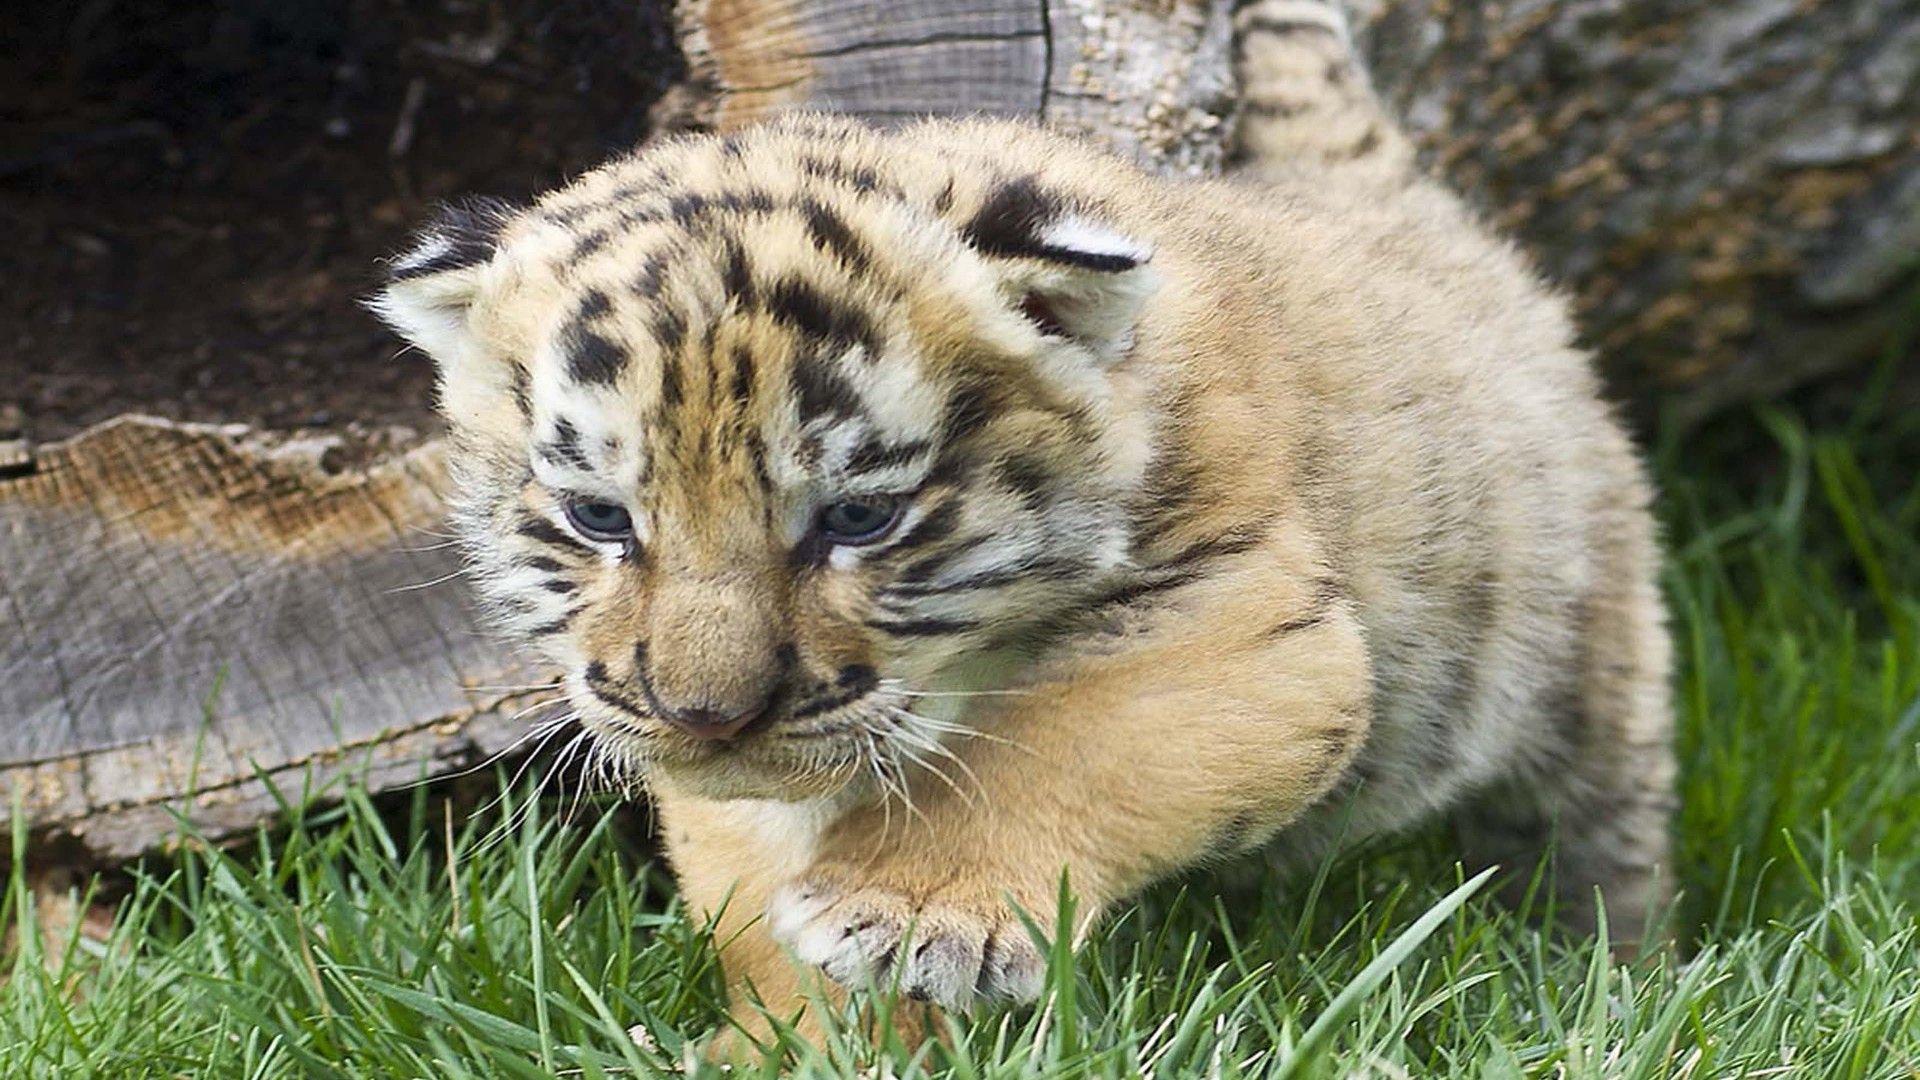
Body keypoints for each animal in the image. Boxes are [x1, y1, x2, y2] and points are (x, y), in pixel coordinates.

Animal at [371, 0, 1674, 1051]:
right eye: (599, 516)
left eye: (859, 517)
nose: (707, 715)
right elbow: (753, 888)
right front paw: (795, 1040)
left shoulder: (1250, 616)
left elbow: (1059, 742)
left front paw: (906, 913)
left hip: (1591, 657)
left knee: (1604, 831)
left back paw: (1608, 975)